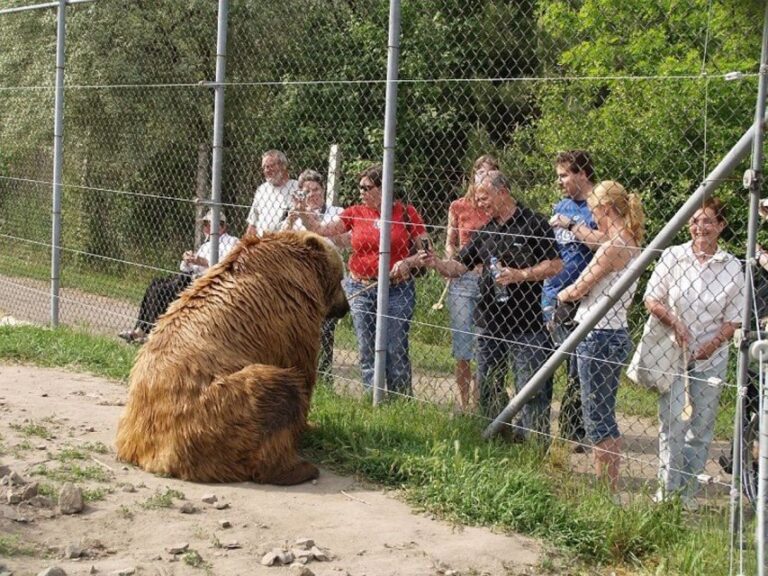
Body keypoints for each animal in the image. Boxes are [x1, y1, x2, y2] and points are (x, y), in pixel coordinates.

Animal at [115, 230, 349, 485]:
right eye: (340, 278)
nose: (345, 307)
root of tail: (147, 454)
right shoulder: (292, 317)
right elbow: (302, 371)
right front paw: (308, 426)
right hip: (216, 409)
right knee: (281, 387)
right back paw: (299, 469)